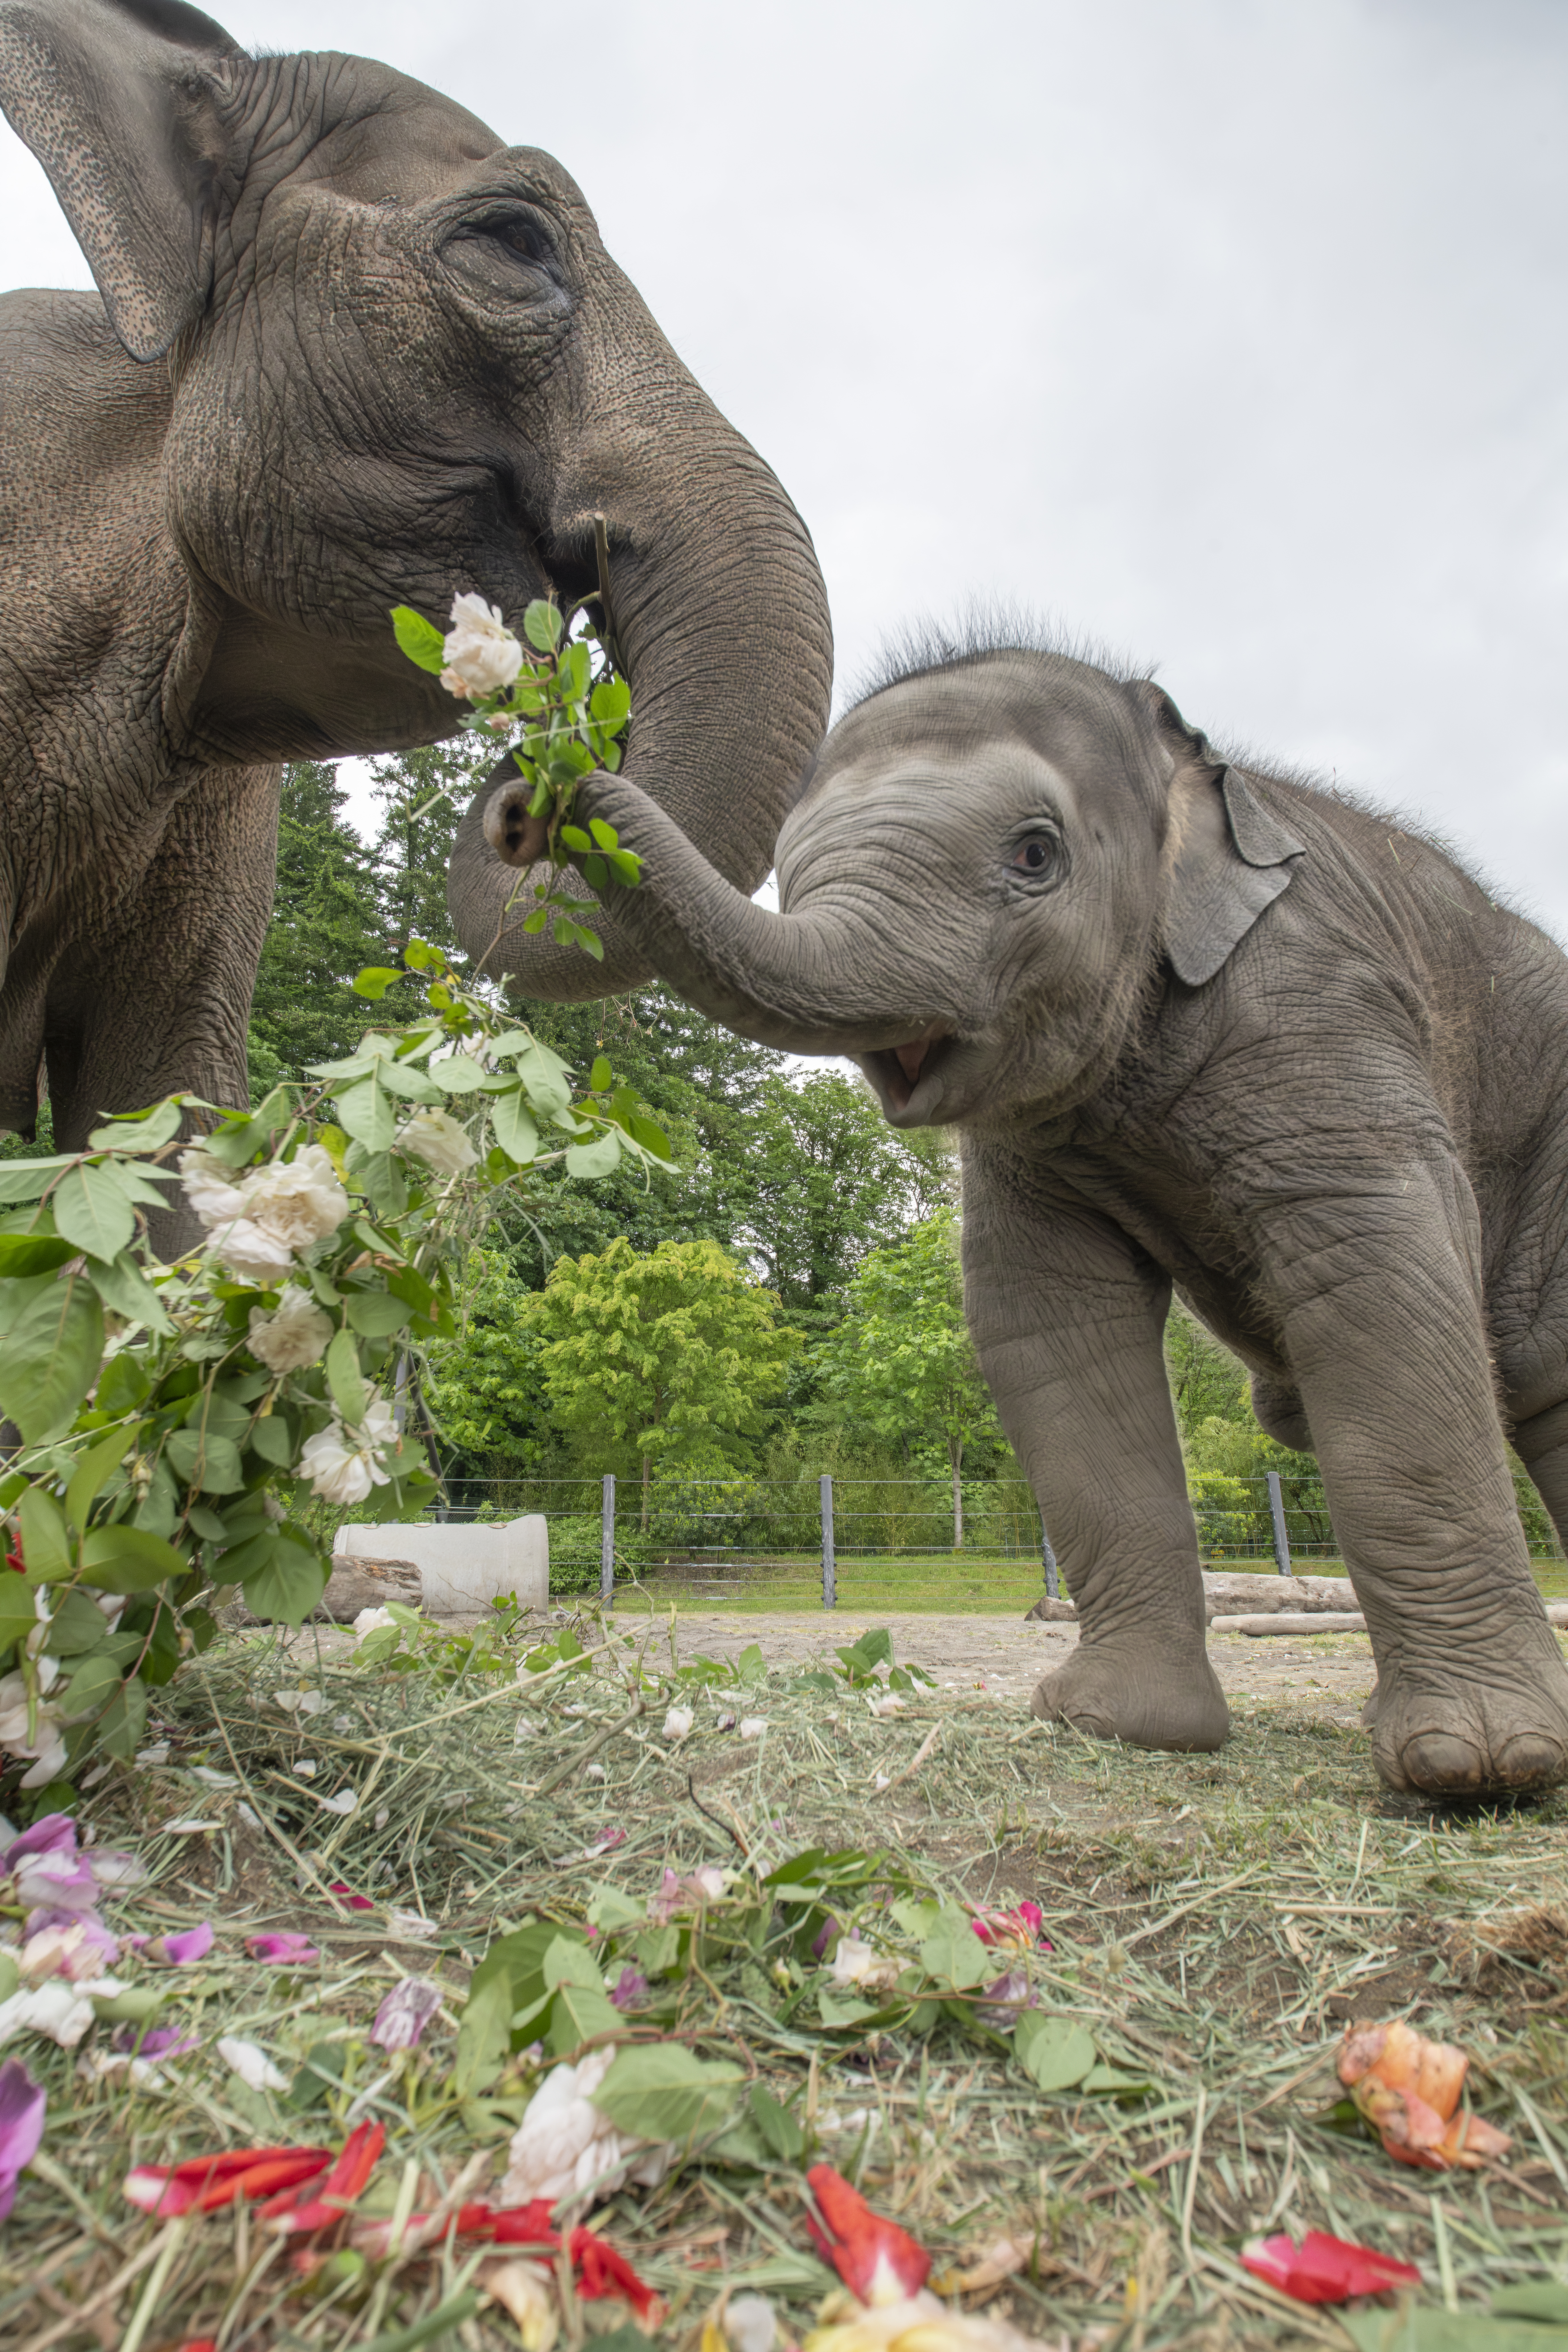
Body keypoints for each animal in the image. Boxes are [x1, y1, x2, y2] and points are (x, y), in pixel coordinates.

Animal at [450, 623, 1568, 1802]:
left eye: (1035, 855)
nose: (524, 803)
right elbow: (1050, 1321)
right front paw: (1117, 1721)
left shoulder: (1323, 1009)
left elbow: (1376, 1277)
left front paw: (1475, 1765)